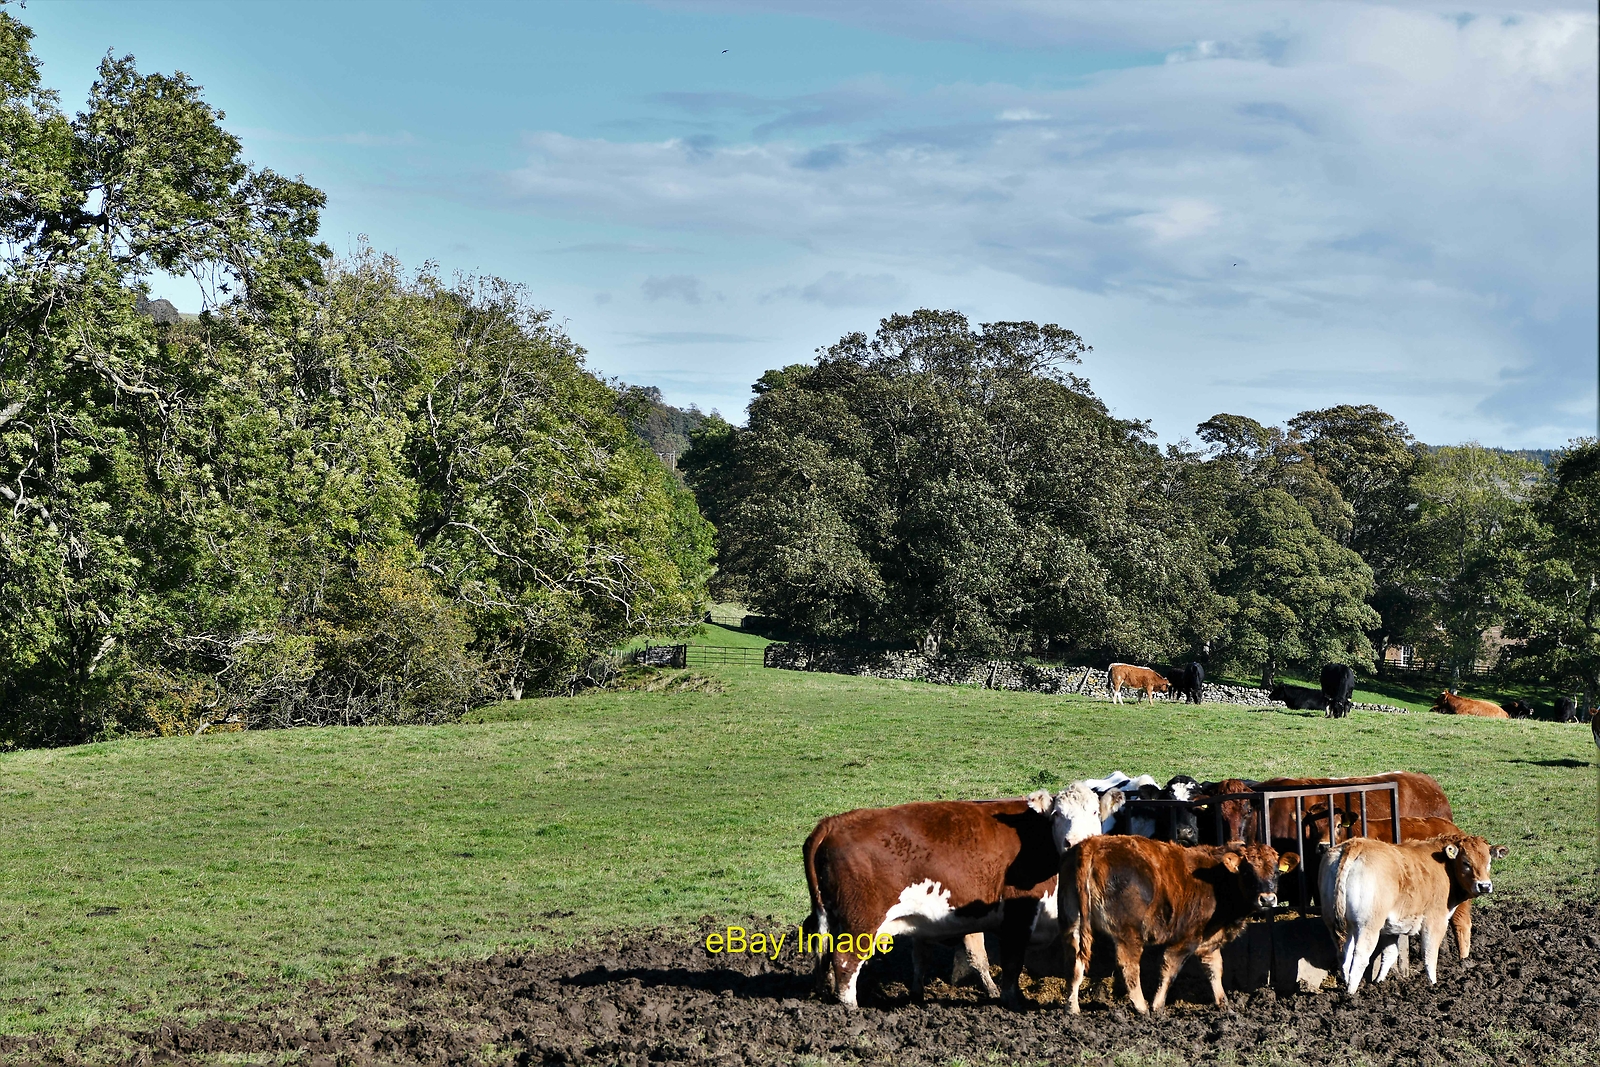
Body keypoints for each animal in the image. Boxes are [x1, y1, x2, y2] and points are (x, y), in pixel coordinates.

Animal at [801, 784, 1122, 1008]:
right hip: (861, 922)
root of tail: (833, 822)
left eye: (1095, 813)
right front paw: (1012, 1001)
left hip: (829, 916)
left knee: (823, 953)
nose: (1075, 841)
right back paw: (851, 1008)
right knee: (845, 962)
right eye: (1057, 815)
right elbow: (1012, 963)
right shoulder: (1018, 916)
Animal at [1058, 837, 1298, 1014]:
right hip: (1129, 933)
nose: (1267, 899)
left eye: (1276, 872)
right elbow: (1170, 969)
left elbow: (1215, 969)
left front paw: (1224, 1003)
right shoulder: (1187, 939)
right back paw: (1142, 1007)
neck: (1218, 878)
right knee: (1129, 966)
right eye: (1248, 872)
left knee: (1075, 963)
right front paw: (1157, 1006)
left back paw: (1072, 1007)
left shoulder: (1208, 941)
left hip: (1073, 925)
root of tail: (1091, 843)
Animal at [1320, 833, 1507, 995]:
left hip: (1336, 922)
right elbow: (1430, 954)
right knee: (1359, 957)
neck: (1445, 866)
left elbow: (1390, 954)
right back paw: (1351, 993)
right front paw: (1433, 984)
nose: (1485, 886)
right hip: (1368, 925)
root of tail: (1355, 843)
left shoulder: (1390, 928)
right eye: (1466, 863)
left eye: (1489, 862)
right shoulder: (1435, 920)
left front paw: (1379, 982)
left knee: (1343, 953)